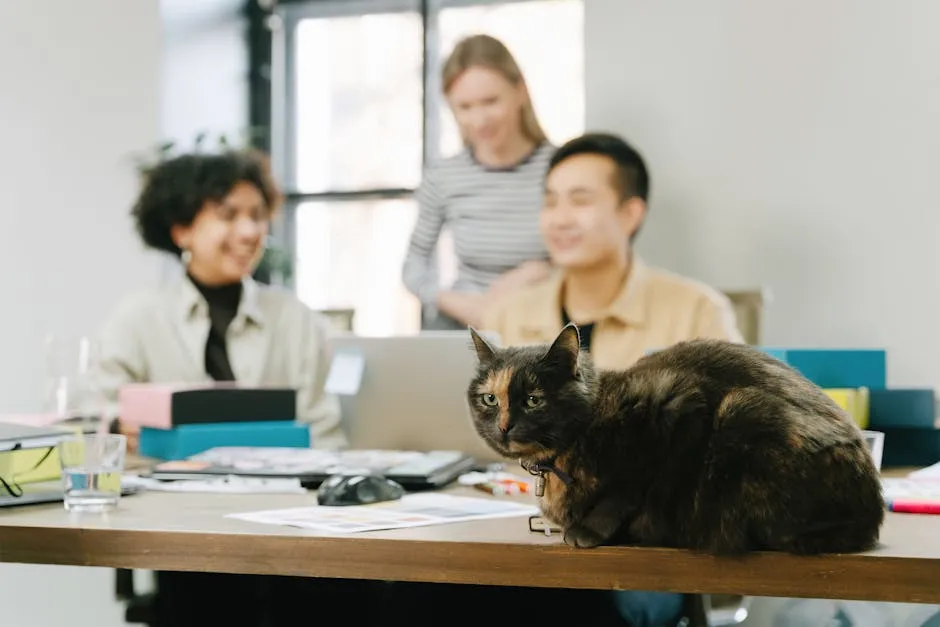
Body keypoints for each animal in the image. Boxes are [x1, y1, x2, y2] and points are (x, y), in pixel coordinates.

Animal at [466, 324, 884, 556]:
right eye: (490, 399)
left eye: (533, 400)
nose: (504, 426)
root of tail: (872, 508)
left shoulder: (677, 404)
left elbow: (630, 487)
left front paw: (590, 529)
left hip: (742, 409)